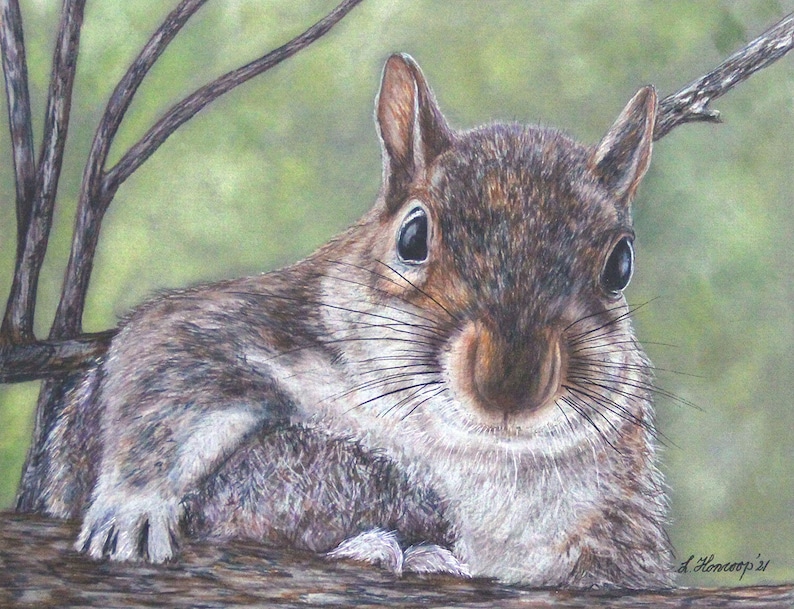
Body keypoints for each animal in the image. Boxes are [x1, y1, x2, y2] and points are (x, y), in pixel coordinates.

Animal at [34, 53, 673, 588]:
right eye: (412, 234)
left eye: (621, 264)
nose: (510, 383)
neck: (474, 451)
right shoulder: (261, 321)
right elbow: (163, 365)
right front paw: (133, 509)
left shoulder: (616, 513)